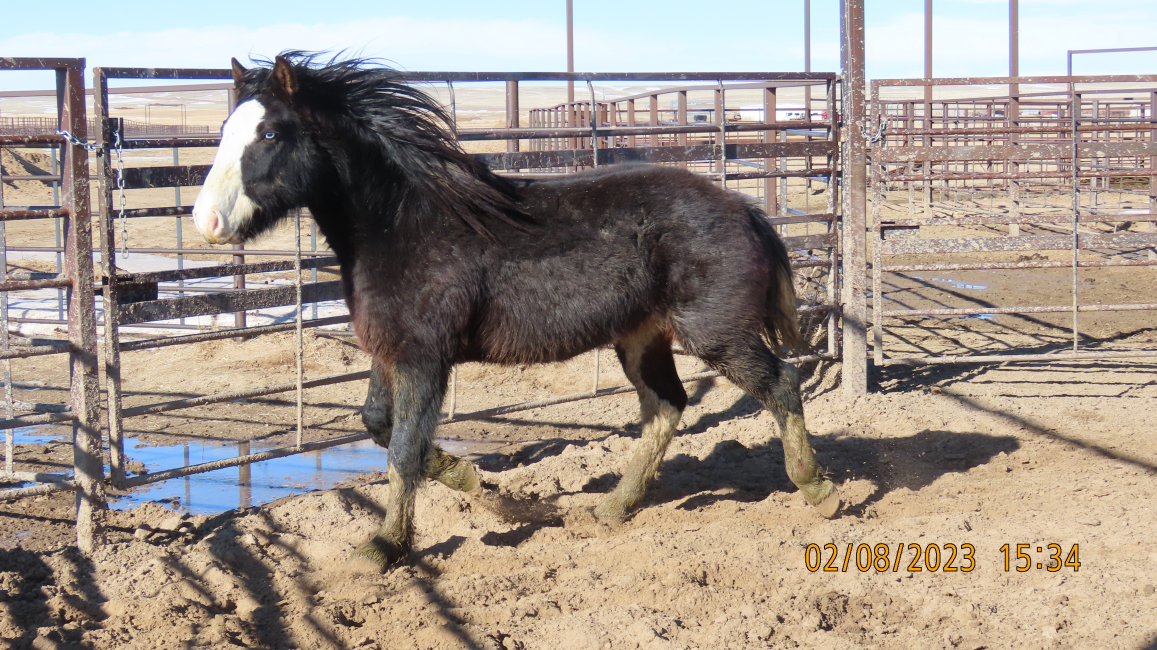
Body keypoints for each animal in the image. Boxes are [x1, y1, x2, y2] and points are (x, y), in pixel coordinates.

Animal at [192, 53, 841, 569]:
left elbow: (403, 447)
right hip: (640, 338)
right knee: (666, 406)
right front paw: (495, 496)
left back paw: (821, 492)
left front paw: (384, 548)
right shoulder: (393, 349)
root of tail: (744, 209)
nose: (206, 222)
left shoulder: (425, 357)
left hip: (716, 333)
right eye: (226, 128)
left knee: (780, 383)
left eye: (270, 133)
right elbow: (382, 426)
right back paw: (610, 508)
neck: (400, 224)